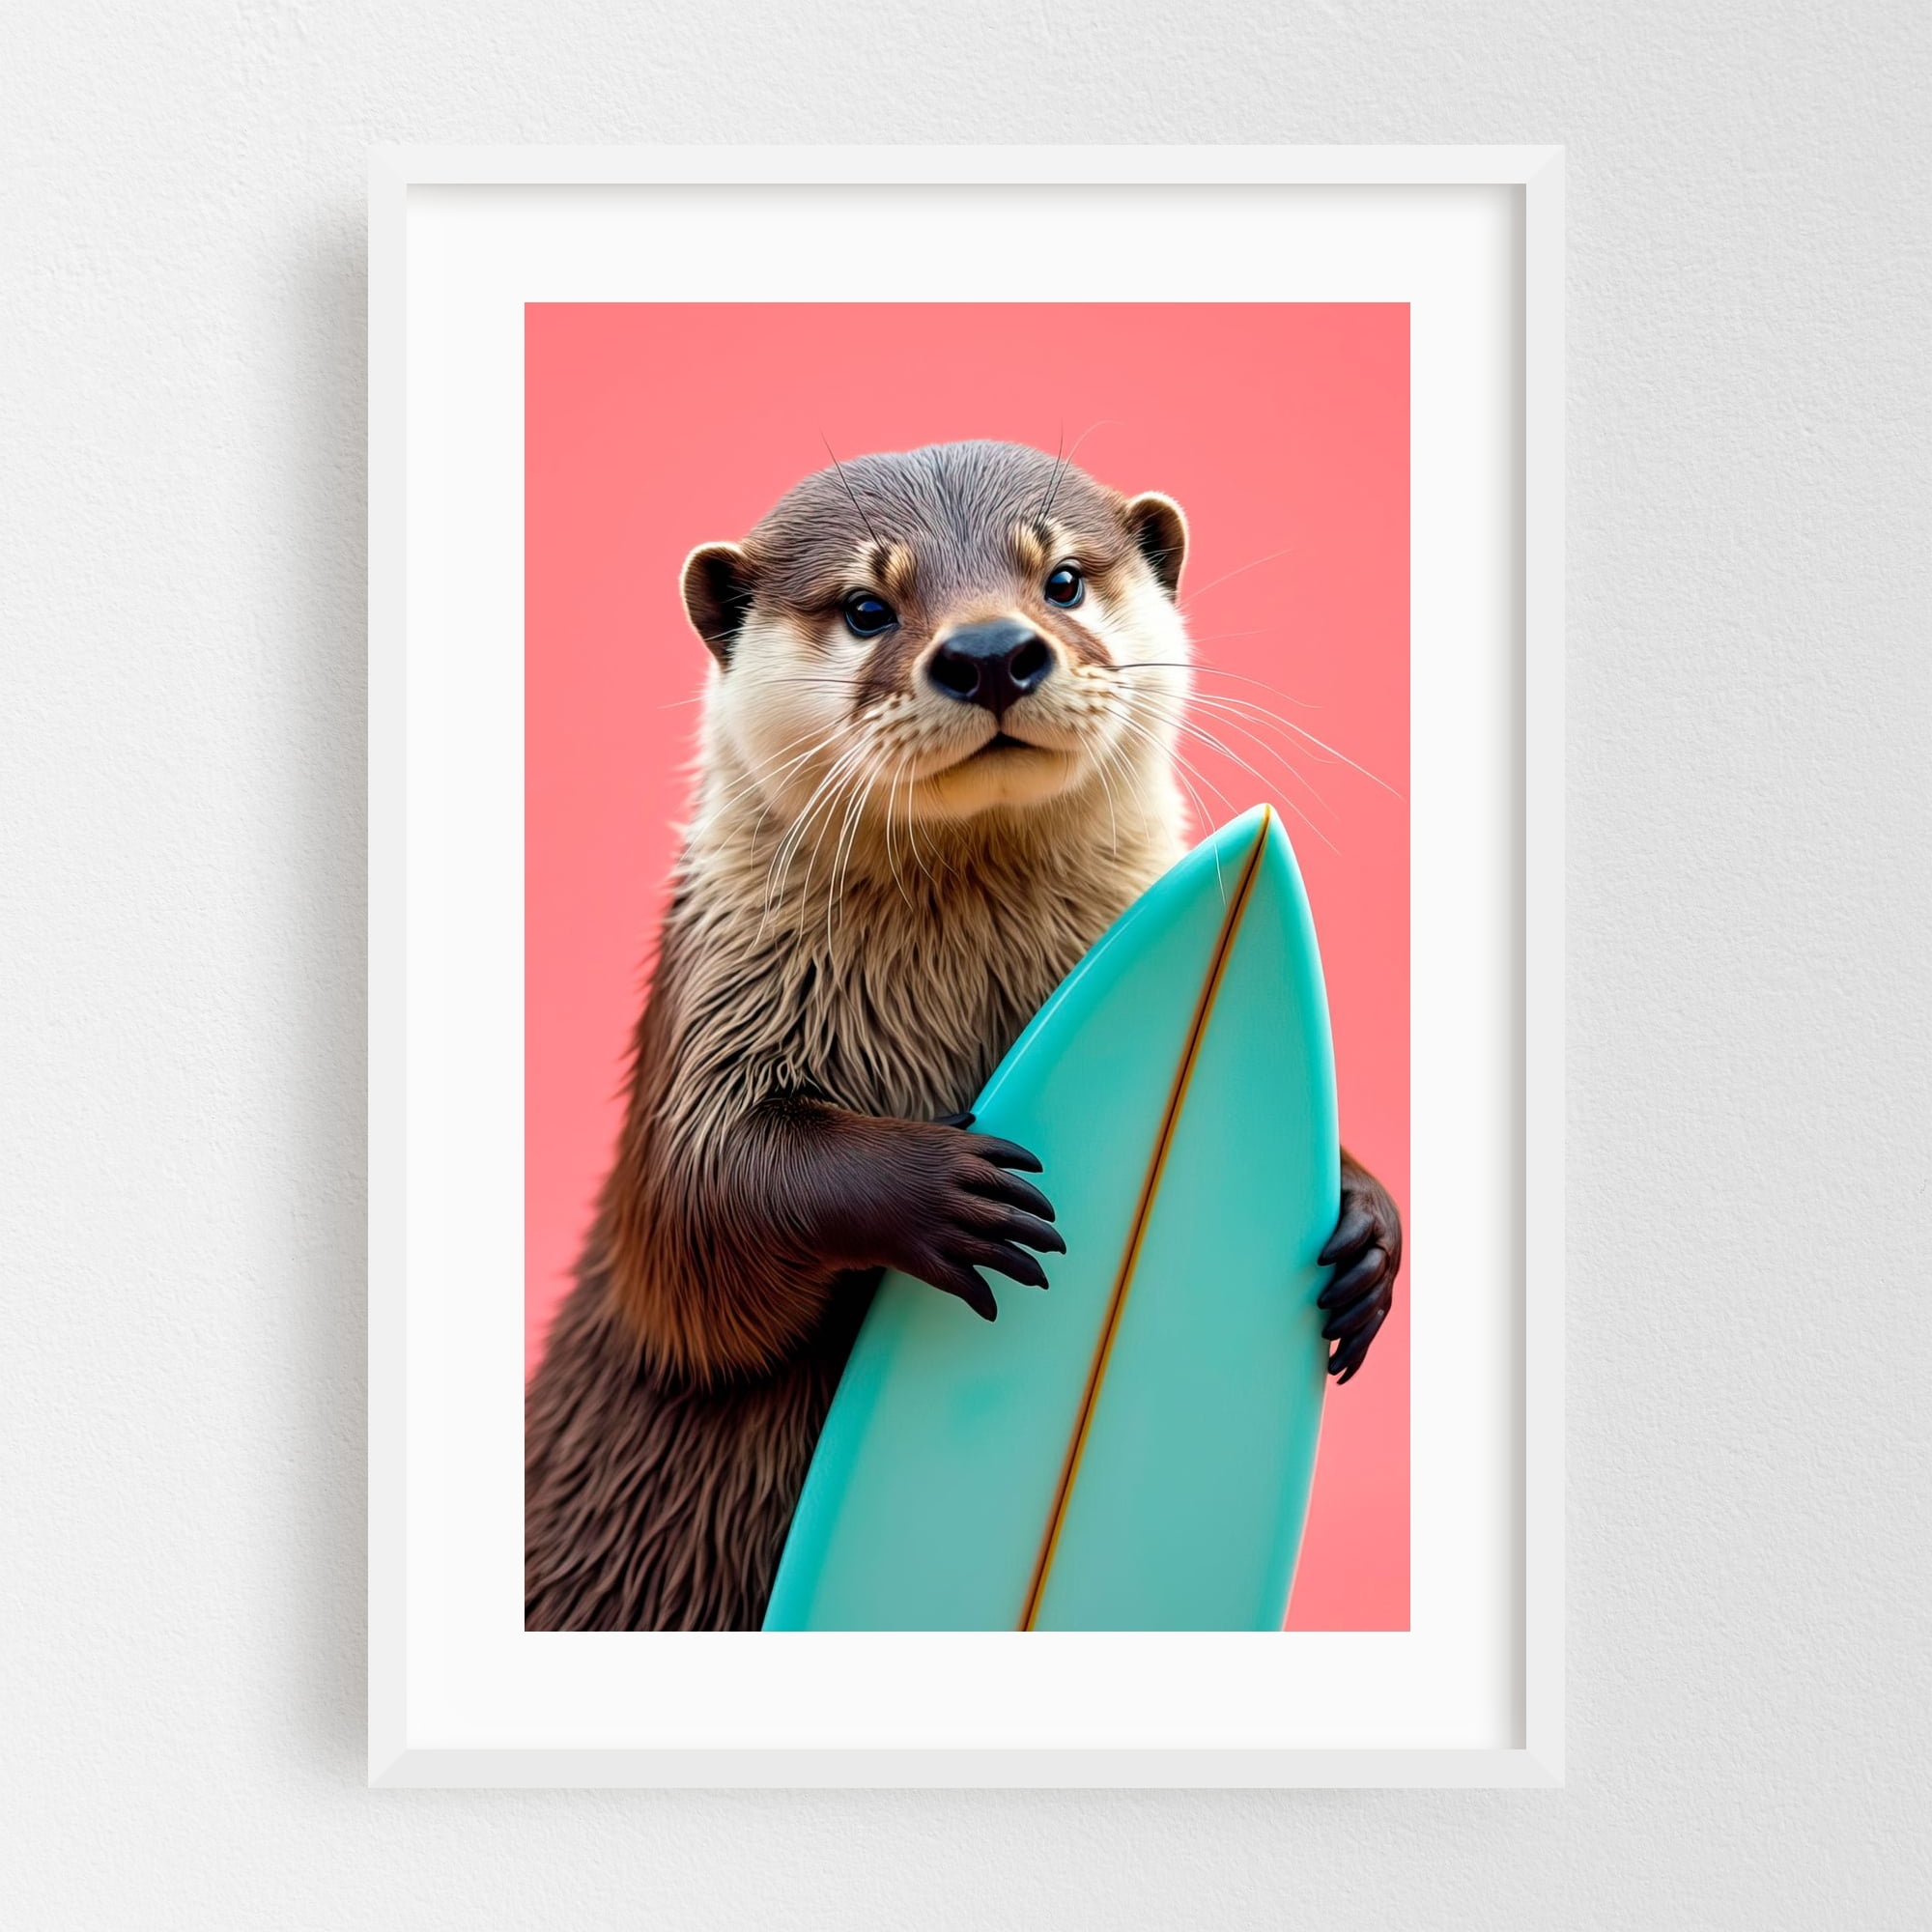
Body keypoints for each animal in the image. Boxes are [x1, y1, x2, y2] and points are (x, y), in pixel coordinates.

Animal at [524, 440, 1401, 1632]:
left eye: (1062, 579)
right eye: (865, 605)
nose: (990, 652)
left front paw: (1366, 1222)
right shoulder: (710, 1012)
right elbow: (694, 1222)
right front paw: (938, 1190)